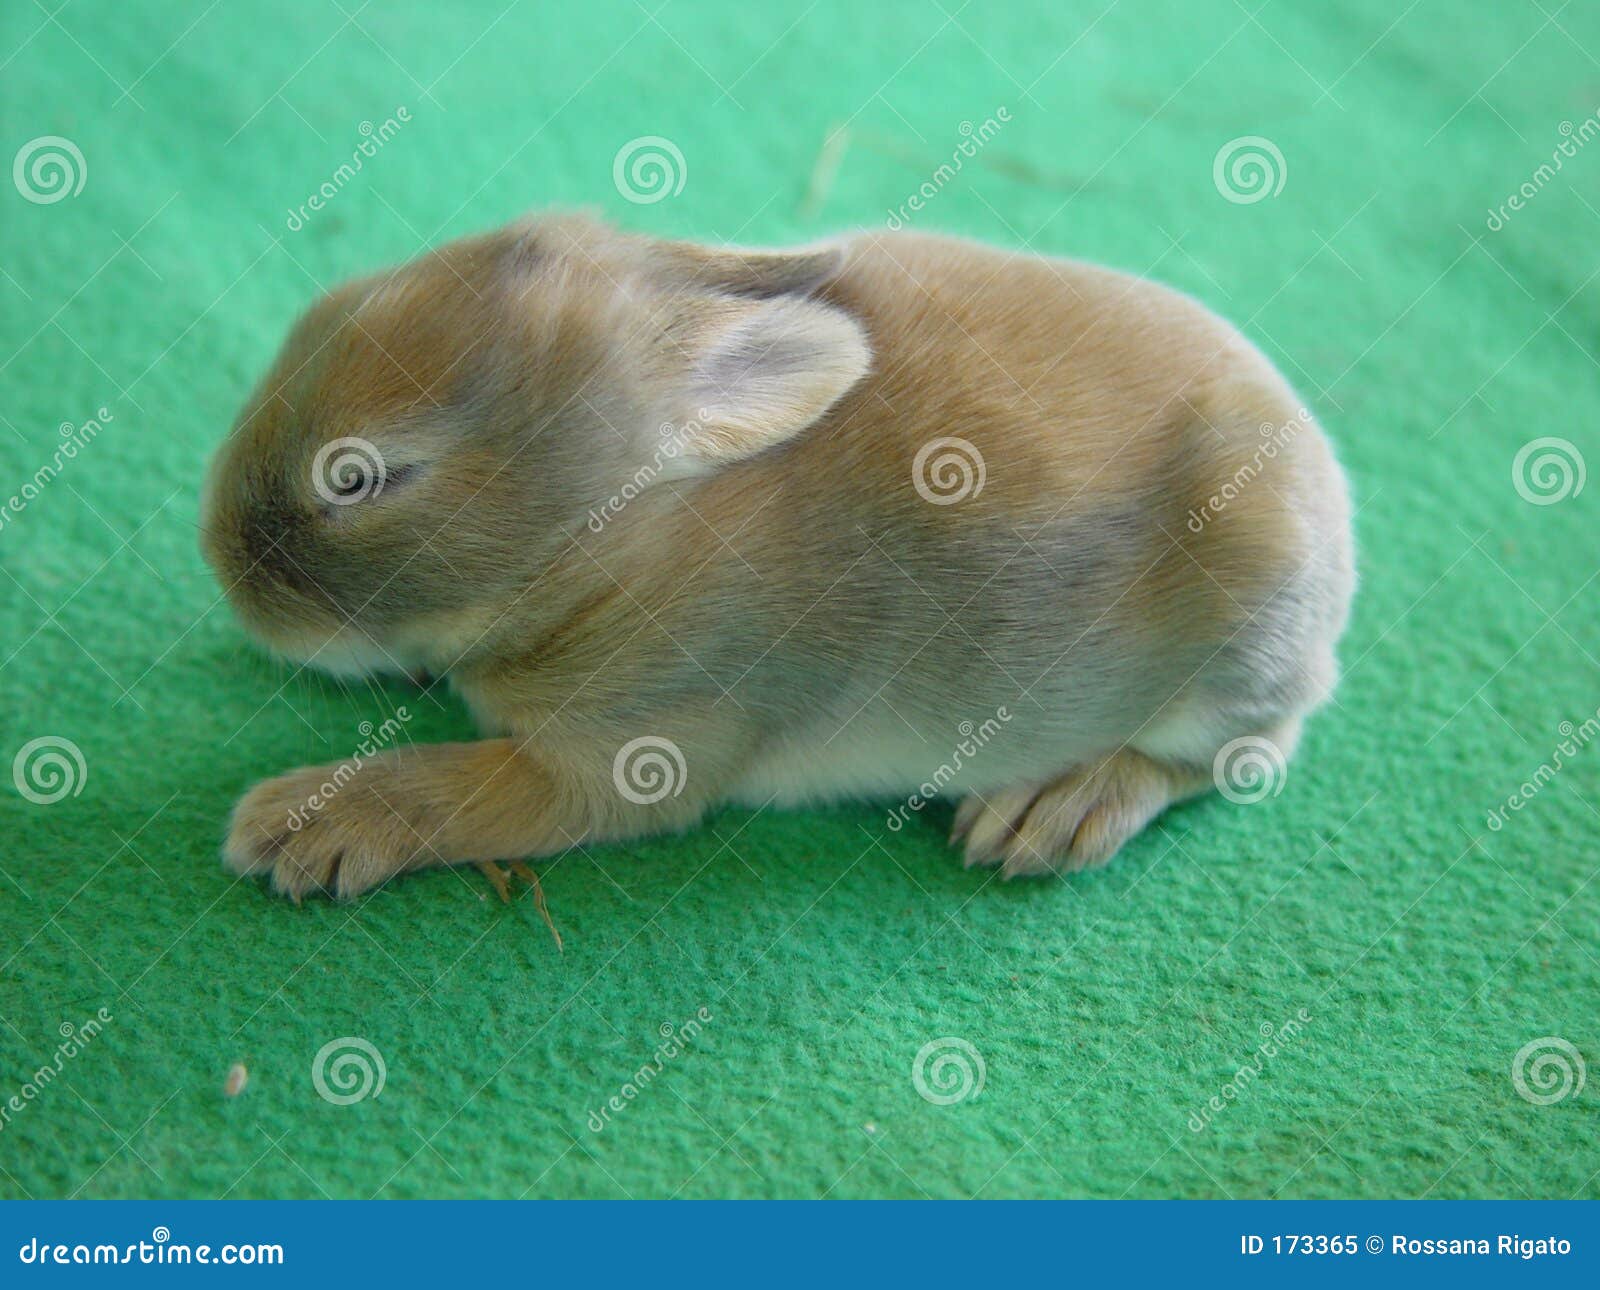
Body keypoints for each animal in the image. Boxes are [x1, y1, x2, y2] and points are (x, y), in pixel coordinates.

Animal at [200, 212, 1353, 901]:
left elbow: (467, 793)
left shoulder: (636, 748)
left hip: (1230, 654)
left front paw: (295, 826)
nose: (222, 564)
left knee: (1241, 753)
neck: (615, 548)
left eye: (359, 478)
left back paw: (1050, 813)